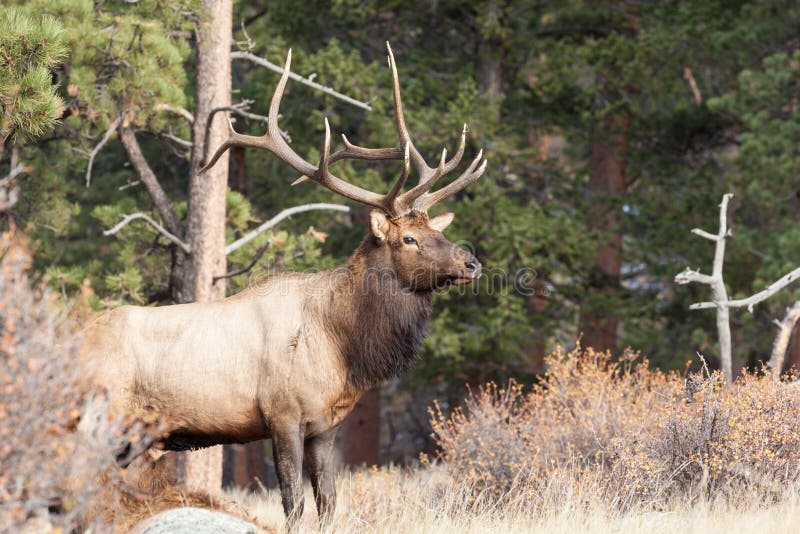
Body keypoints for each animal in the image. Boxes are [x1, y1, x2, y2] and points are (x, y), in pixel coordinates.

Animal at [79, 43, 486, 525]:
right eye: (408, 238)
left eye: (436, 231)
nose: (471, 262)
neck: (343, 346)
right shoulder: (282, 413)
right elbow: (294, 503)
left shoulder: (326, 426)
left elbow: (328, 501)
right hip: (101, 417)